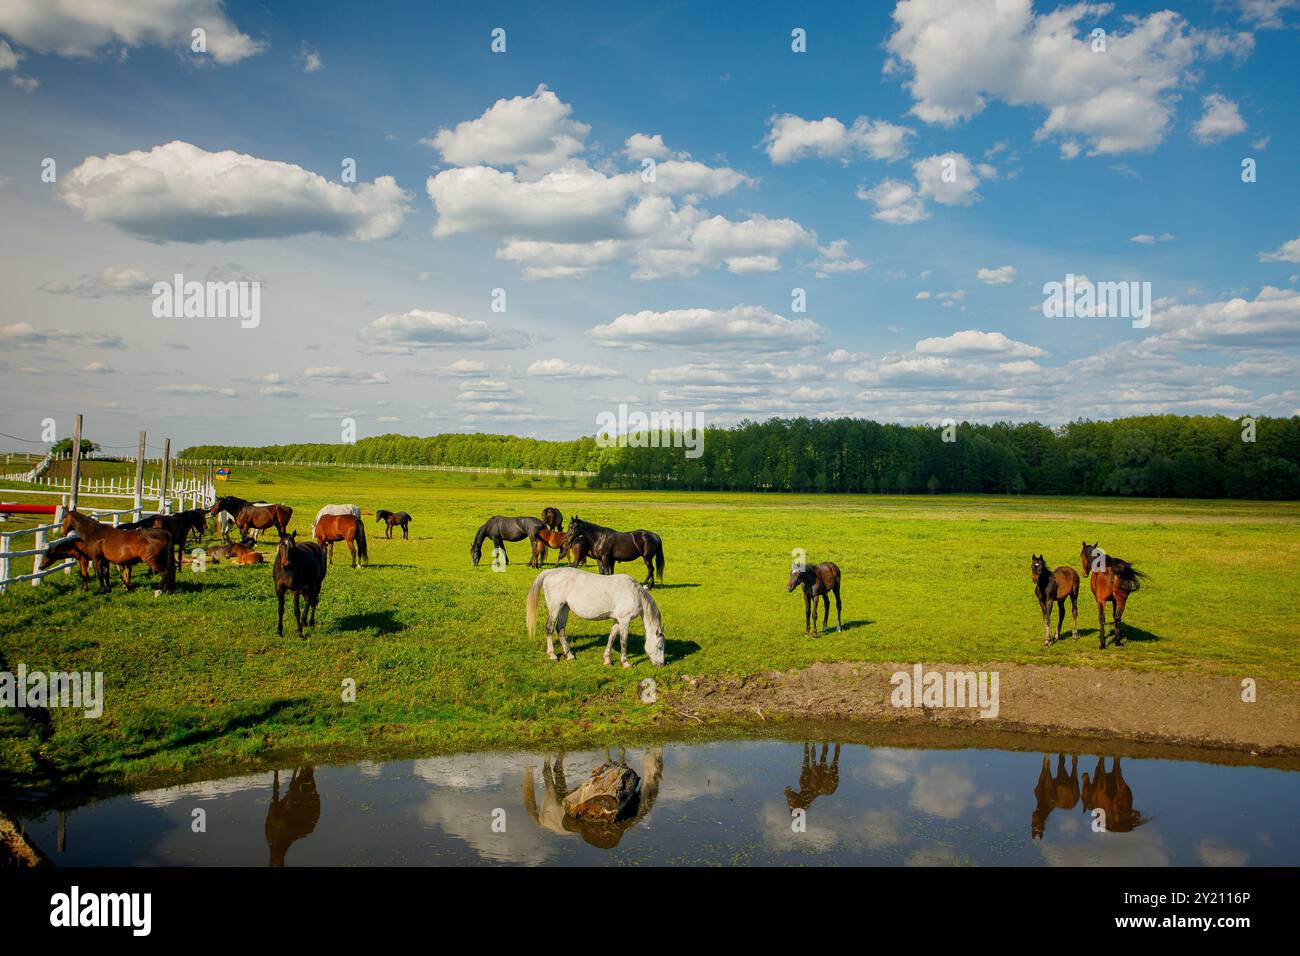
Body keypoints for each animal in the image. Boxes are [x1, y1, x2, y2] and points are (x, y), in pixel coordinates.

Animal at [526, 567, 666, 667]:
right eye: (660, 646)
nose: (661, 664)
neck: (635, 593)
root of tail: (551, 572)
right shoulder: (624, 620)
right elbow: (623, 641)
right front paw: (625, 662)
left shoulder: (617, 620)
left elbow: (612, 637)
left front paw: (607, 660)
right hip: (555, 608)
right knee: (549, 628)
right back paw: (552, 655)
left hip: (564, 608)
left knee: (560, 629)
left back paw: (569, 655)